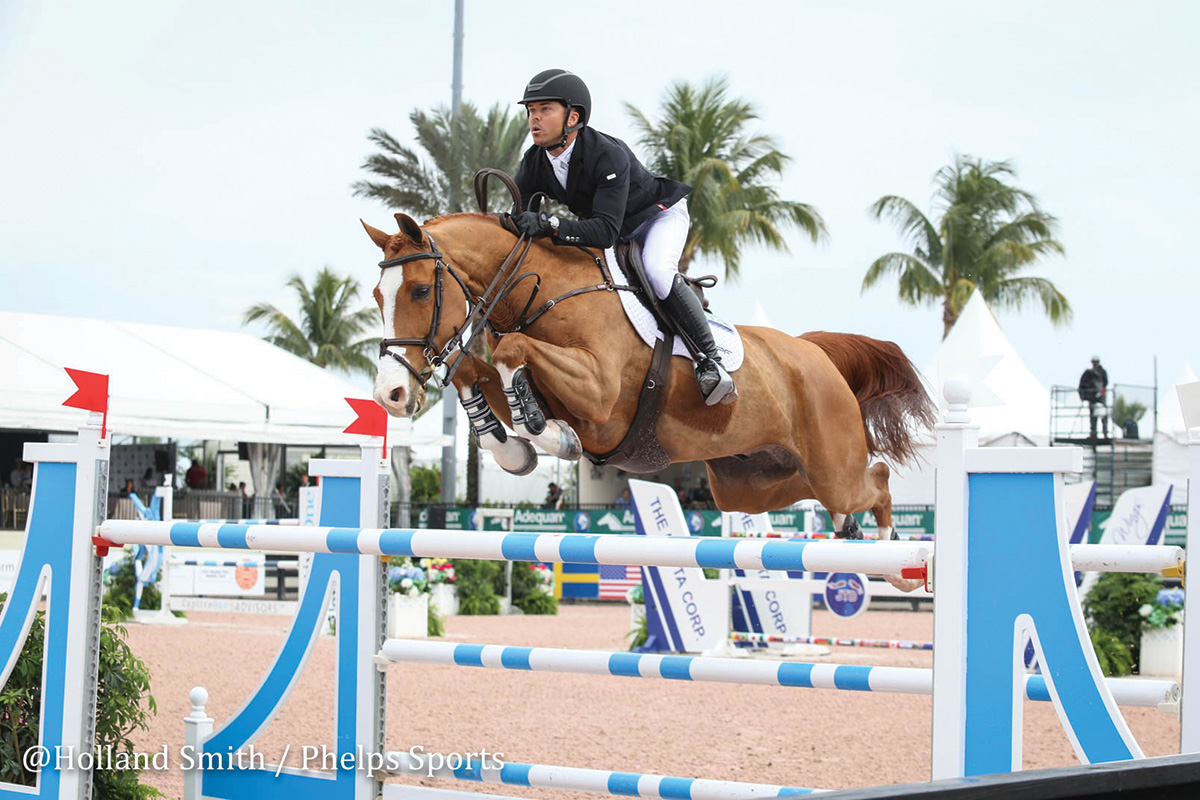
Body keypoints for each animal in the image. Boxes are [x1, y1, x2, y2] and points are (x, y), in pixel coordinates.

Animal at [363, 211, 935, 583]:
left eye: (419, 291)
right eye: (375, 295)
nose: (390, 395)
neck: (543, 291)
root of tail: (813, 351)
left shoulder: (599, 398)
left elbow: (511, 350)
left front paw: (547, 436)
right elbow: (475, 369)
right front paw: (511, 447)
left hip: (829, 461)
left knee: (875, 480)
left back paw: (897, 562)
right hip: (750, 481)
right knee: (826, 493)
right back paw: (851, 533)